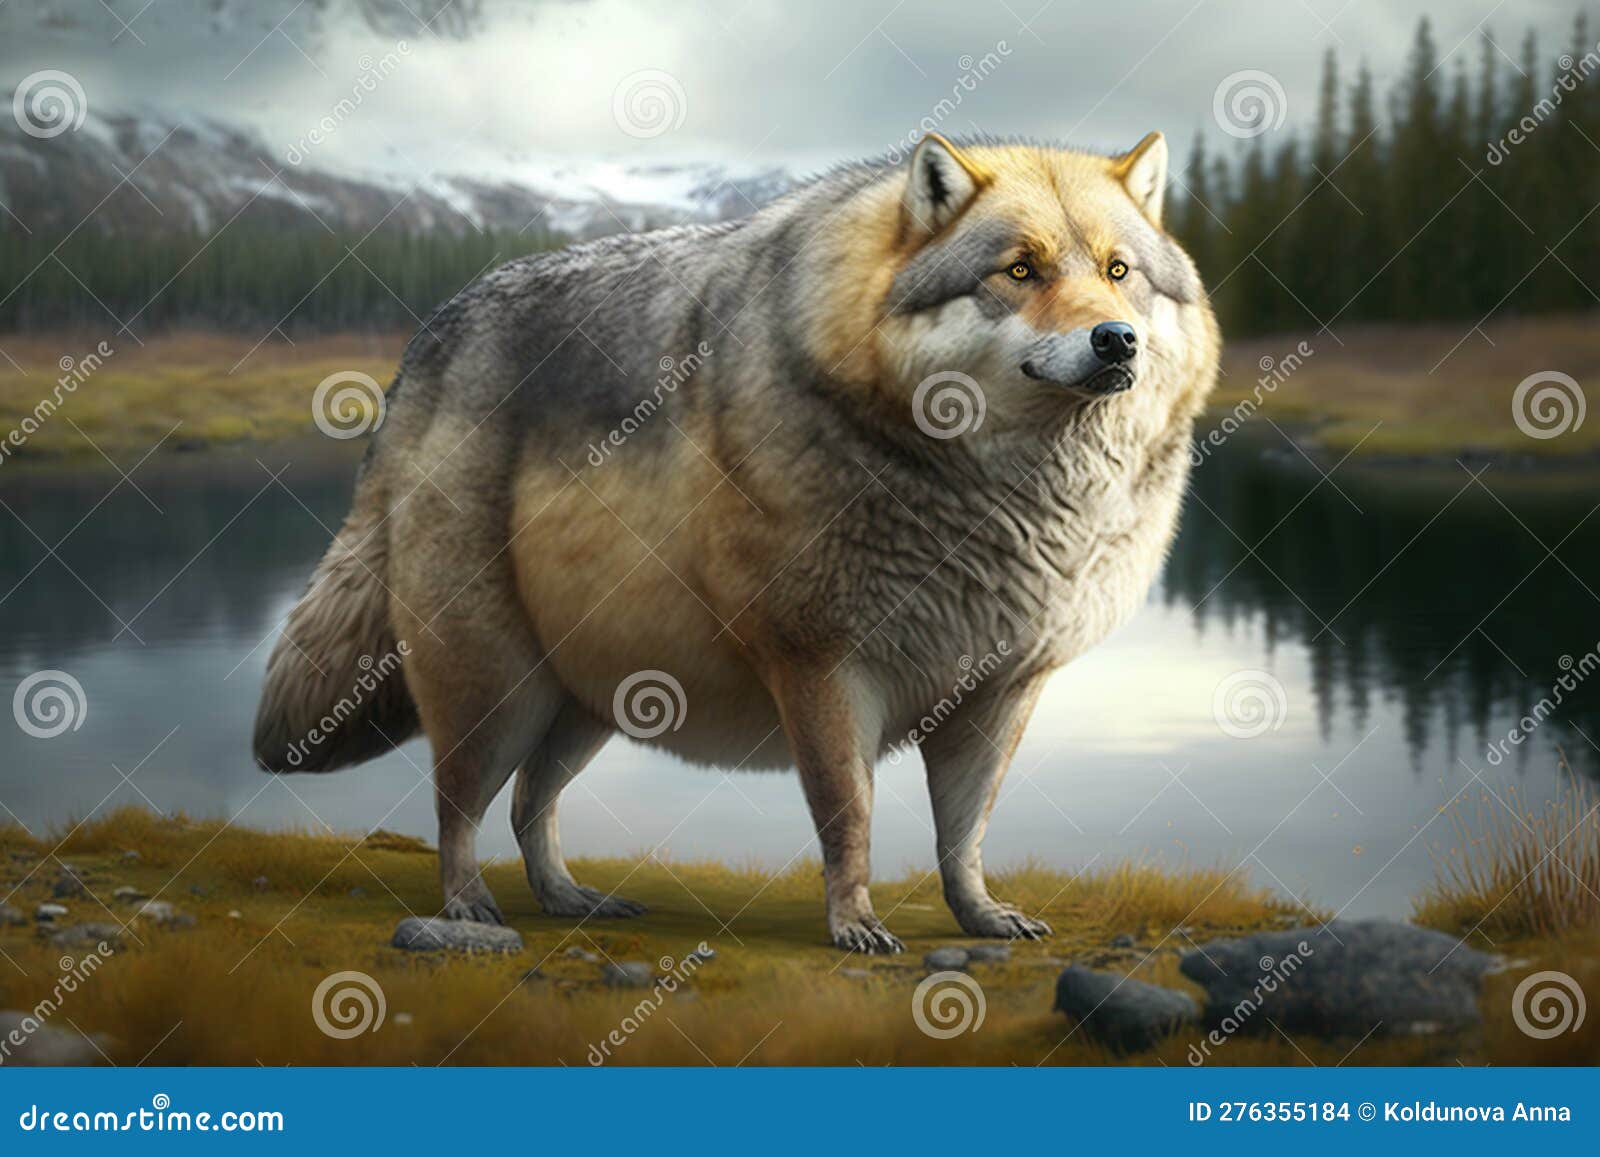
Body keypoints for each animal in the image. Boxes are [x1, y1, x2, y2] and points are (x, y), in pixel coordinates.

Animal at [254, 131, 1220, 953]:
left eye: (1119, 271)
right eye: (1020, 269)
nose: (1116, 340)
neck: (1003, 499)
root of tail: (427, 337)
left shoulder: (1000, 687)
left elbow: (964, 833)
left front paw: (980, 916)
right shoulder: (821, 667)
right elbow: (851, 815)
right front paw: (854, 925)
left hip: (590, 700)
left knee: (532, 803)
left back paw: (567, 898)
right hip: (496, 688)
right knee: (457, 806)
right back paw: (467, 909)